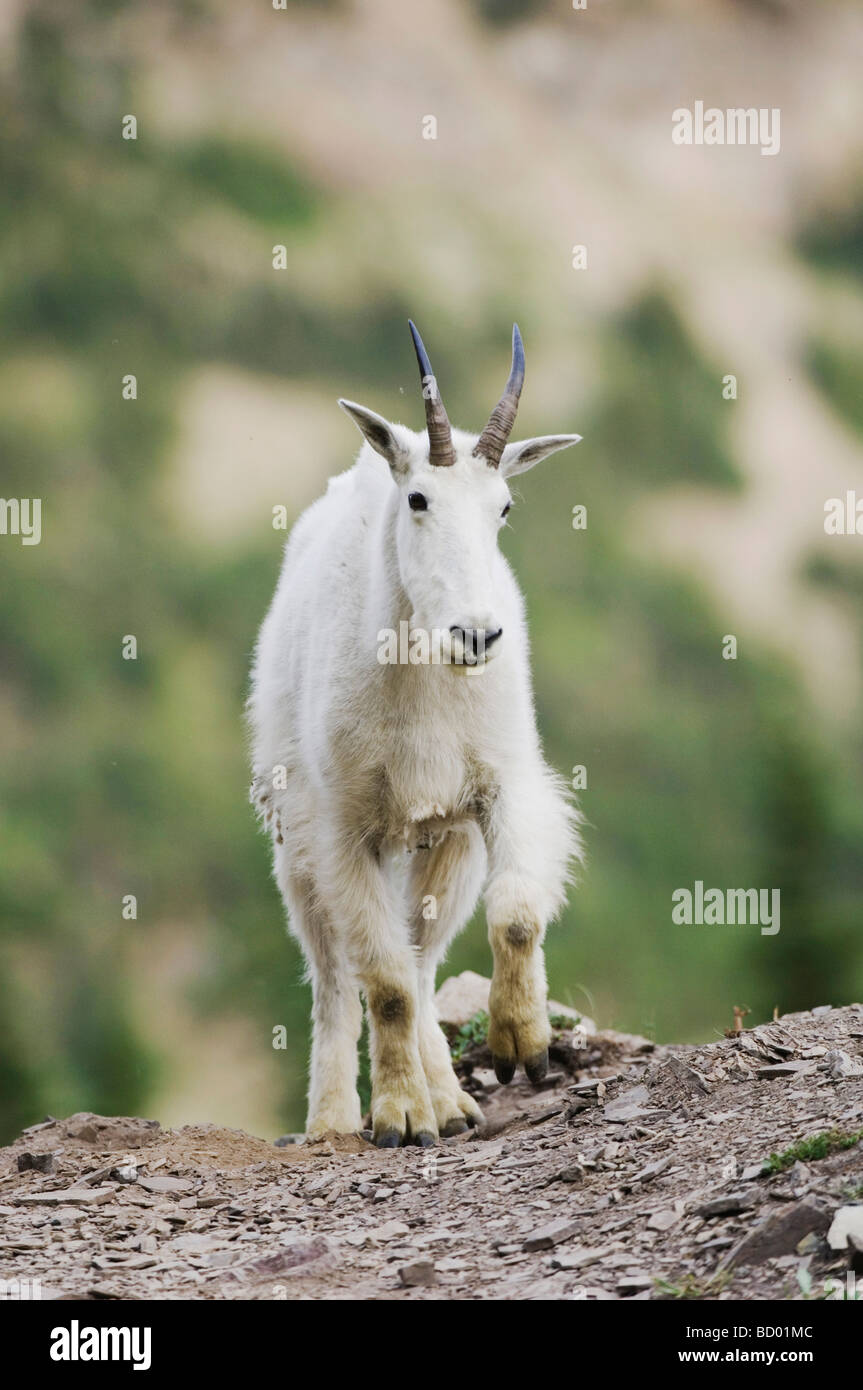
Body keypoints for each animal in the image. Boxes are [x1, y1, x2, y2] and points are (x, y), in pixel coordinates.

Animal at [248, 322, 582, 1146]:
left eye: (504, 507)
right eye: (420, 498)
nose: (478, 635)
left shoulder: (502, 787)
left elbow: (514, 918)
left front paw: (521, 1044)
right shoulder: (343, 832)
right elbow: (385, 982)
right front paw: (400, 1117)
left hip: (446, 843)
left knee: (427, 961)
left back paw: (453, 1100)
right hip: (297, 846)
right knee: (338, 979)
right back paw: (338, 1119)